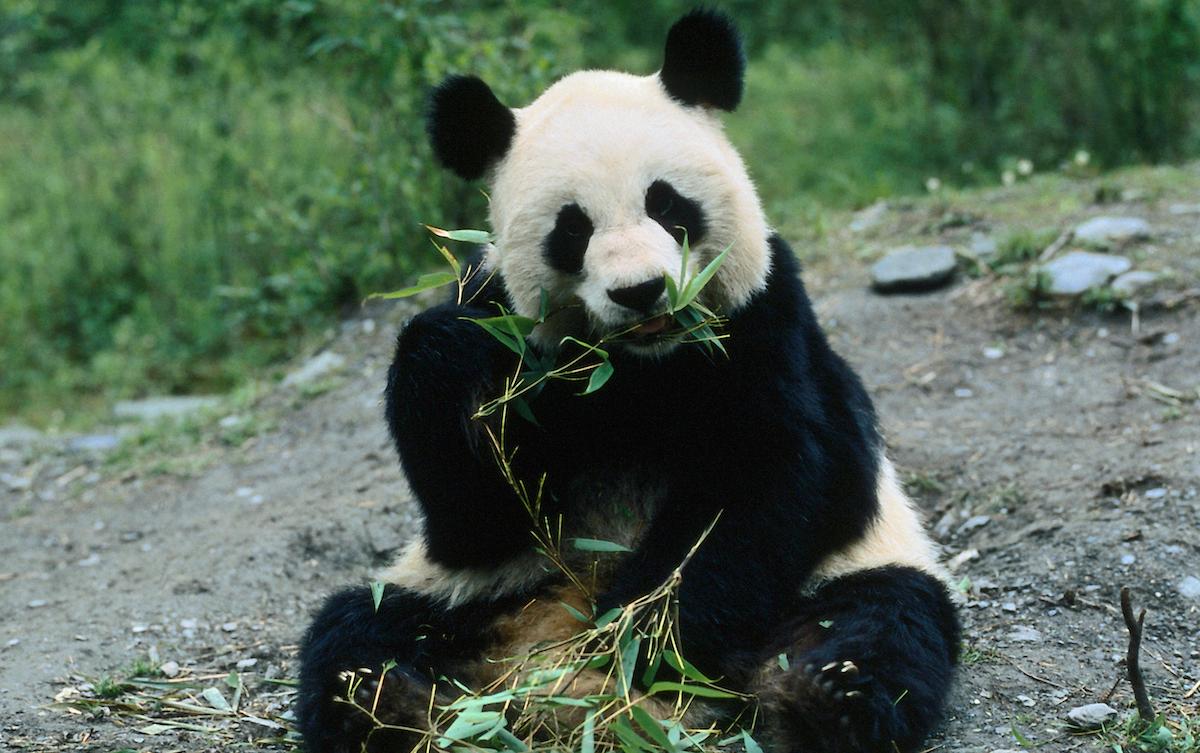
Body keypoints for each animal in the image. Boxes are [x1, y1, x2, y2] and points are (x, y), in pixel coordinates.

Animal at [297, 10, 959, 753]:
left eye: (667, 203)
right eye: (571, 229)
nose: (641, 291)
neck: (640, 365)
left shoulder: (762, 323)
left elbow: (756, 482)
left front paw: (636, 640)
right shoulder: (514, 343)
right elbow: (473, 515)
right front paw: (452, 351)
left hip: (851, 565)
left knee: (880, 622)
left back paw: (815, 698)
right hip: (464, 594)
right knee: (358, 630)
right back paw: (389, 702)